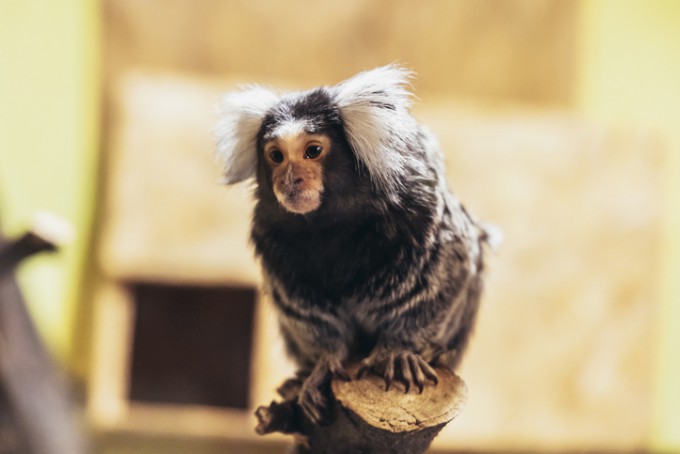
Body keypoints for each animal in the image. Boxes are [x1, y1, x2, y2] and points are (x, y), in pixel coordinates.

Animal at [215, 65, 495, 424]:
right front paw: (324, 362)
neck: (332, 225)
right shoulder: (271, 239)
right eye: (276, 156)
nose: (290, 180)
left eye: (313, 151)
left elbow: (447, 274)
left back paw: (435, 351)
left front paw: (399, 349)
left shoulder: (422, 210)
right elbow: (304, 310)